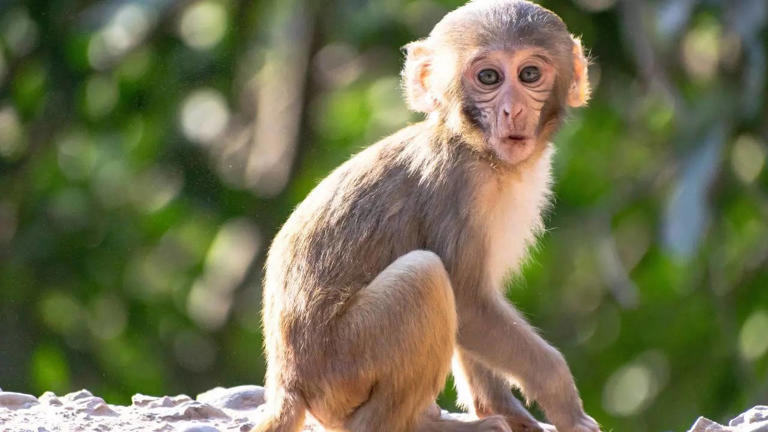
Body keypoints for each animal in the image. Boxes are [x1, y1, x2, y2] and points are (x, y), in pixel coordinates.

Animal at [253, 1, 598, 431]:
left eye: (529, 74)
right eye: (489, 77)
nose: (513, 109)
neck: (477, 150)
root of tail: (287, 382)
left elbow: (476, 310)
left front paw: (505, 411)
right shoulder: (457, 187)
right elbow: (468, 302)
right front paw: (567, 405)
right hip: (343, 363)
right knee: (425, 277)